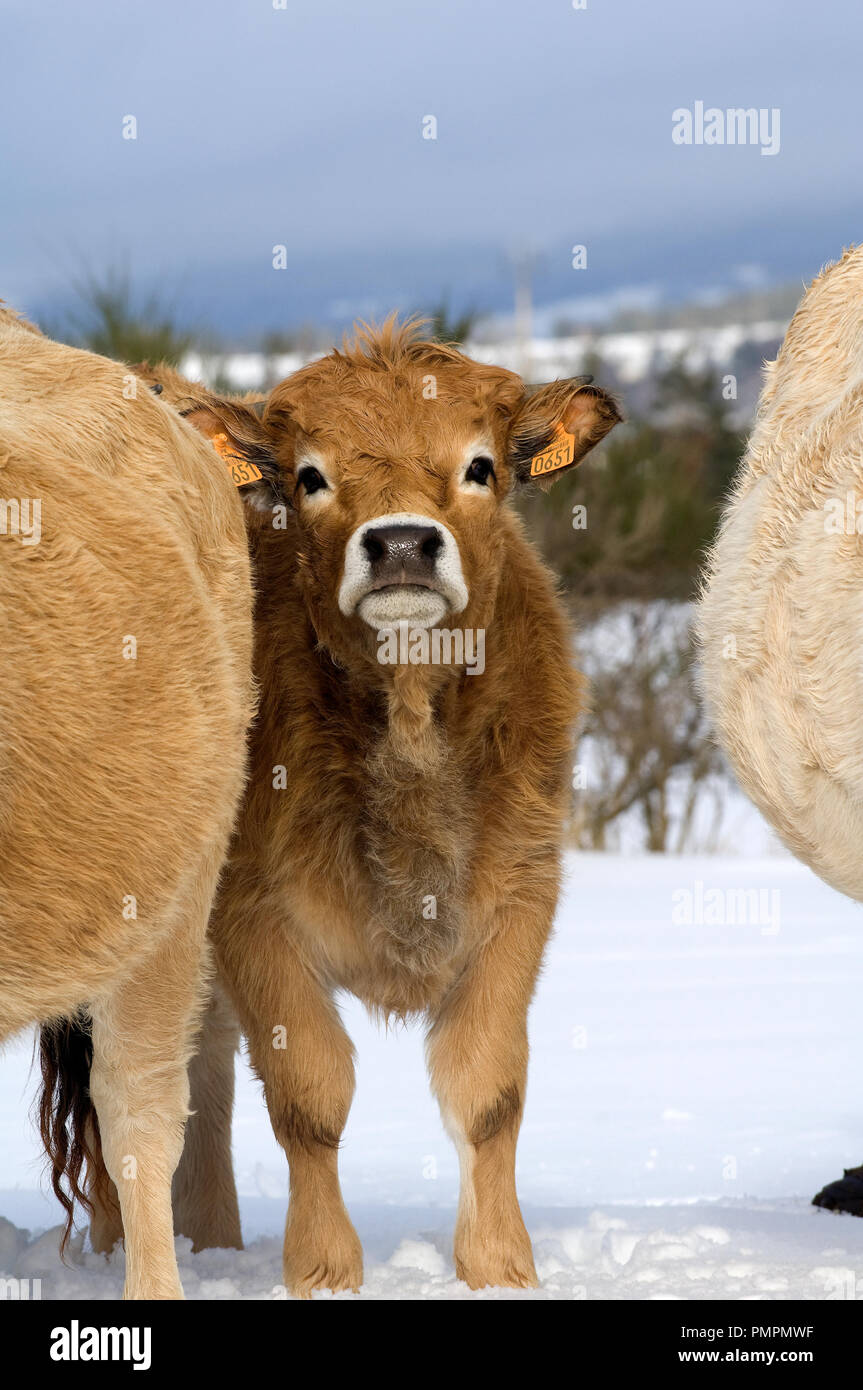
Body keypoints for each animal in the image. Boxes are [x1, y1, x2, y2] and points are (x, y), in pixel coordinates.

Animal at [81, 319, 621, 1294]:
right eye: (309, 476)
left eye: (480, 466)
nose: (402, 542)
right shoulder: (253, 915)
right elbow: (309, 1096)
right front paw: (323, 1269)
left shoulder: (520, 896)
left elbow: (486, 1090)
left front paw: (500, 1265)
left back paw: (212, 1245)